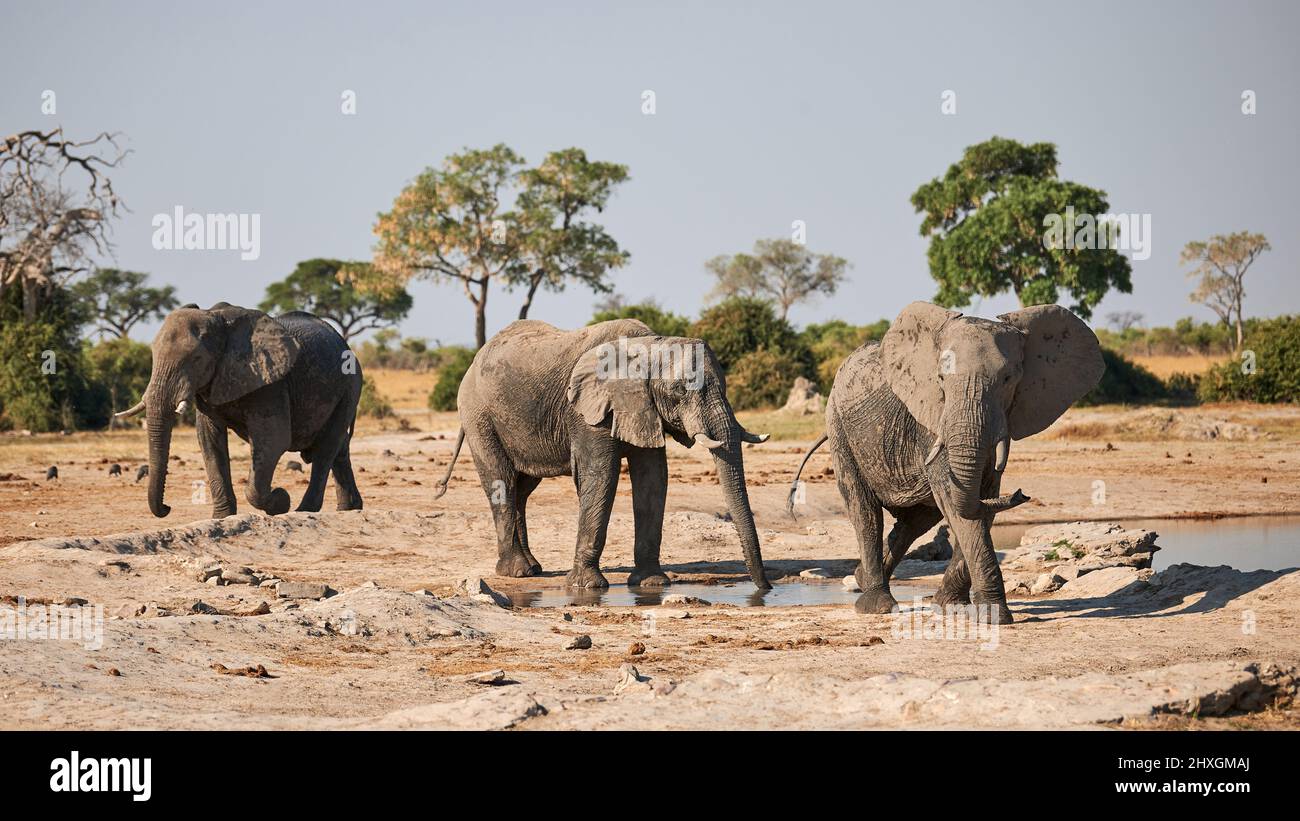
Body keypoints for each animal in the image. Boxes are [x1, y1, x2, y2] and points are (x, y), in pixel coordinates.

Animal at [115, 302, 363, 519]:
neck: (215, 319)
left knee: (326, 449)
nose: (167, 508)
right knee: (339, 449)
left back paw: (304, 510)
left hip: (349, 388)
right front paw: (221, 518)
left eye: (196, 359)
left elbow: (273, 440)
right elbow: (209, 441)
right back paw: (349, 509)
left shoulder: (271, 383)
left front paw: (280, 501)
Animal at [435, 319, 771, 590]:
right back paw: (516, 572)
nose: (765, 588)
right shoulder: (587, 411)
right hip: (479, 416)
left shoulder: (643, 407)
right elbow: (601, 476)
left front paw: (651, 583)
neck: (646, 346)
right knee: (502, 482)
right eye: (679, 390)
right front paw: (587, 587)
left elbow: (653, 479)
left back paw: (532, 569)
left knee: (522, 488)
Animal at [788, 301, 1103, 624]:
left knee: (916, 521)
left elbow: (979, 502)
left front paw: (952, 606)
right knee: (864, 510)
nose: (1021, 494)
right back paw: (877, 604)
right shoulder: (931, 418)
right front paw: (995, 617)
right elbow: (957, 502)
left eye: (1008, 379)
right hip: (838, 424)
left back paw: (860, 578)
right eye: (941, 379)